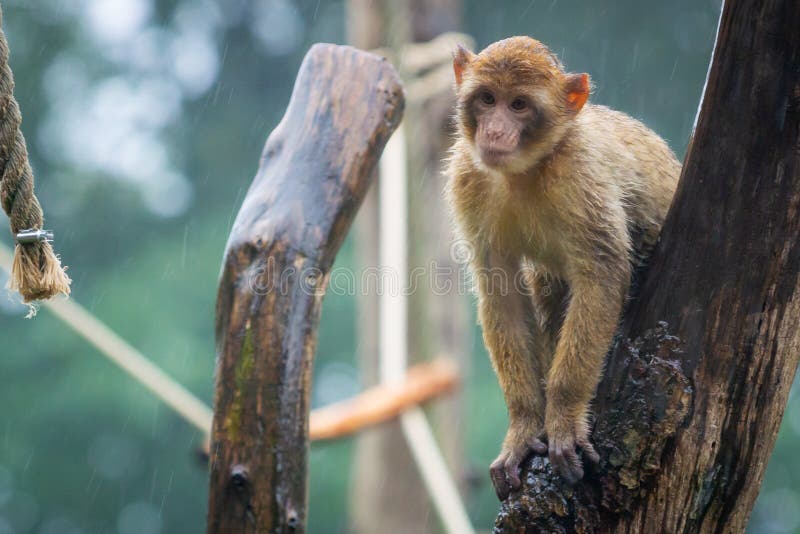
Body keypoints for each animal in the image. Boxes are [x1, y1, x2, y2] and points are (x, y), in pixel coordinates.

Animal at [445, 36, 680, 499]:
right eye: (488, 99)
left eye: (518, 104)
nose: (494, 131)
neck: (523, 172)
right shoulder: (468, 176)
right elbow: (501, 289)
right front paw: (524, 424)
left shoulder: (577, 173)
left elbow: (602, 273)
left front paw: (565, 414)